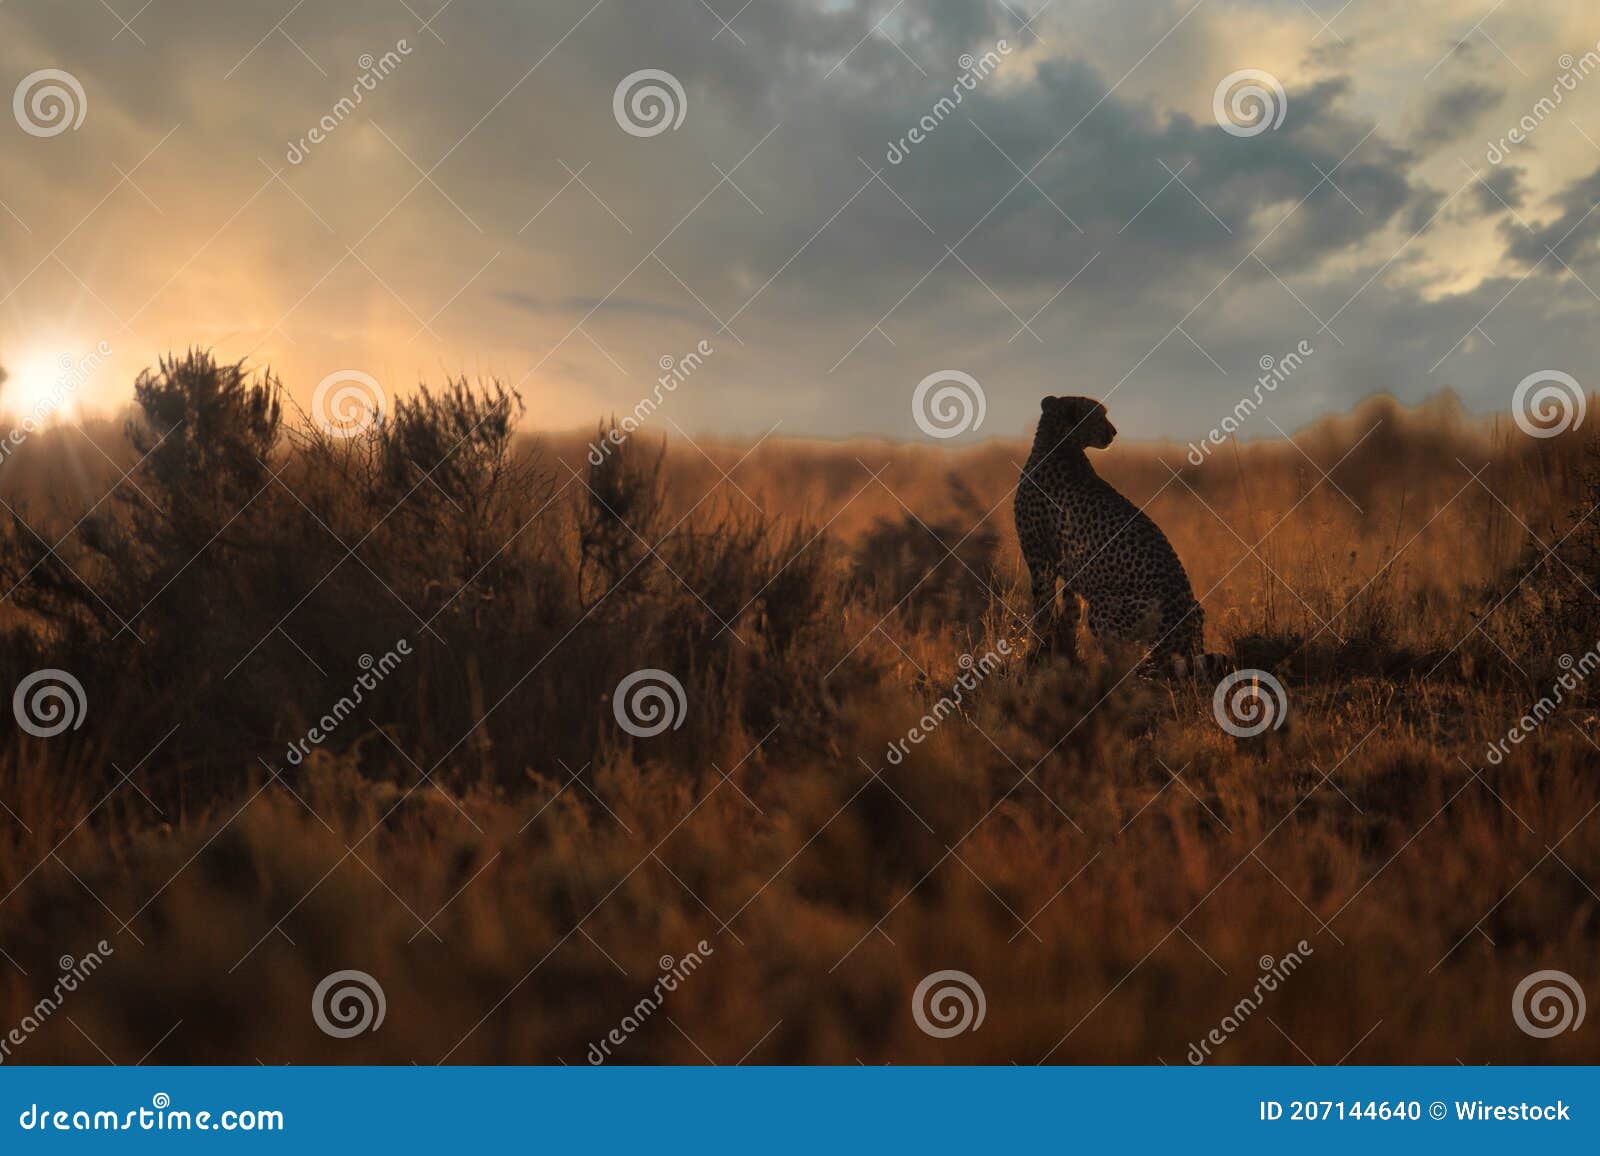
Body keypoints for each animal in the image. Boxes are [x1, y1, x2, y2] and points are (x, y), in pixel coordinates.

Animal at [1013, 395, 1207, 671]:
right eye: (1098, 415)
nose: (1114, 432)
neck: (1059, 445)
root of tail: (1186, 639)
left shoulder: (1041, 559)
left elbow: (1043, 609)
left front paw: (1035, 655)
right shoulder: (1067, 561)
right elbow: (1069, 610)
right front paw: (1064, 655)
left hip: (1105, 604)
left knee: (1129, 661)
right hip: (1196, 609)